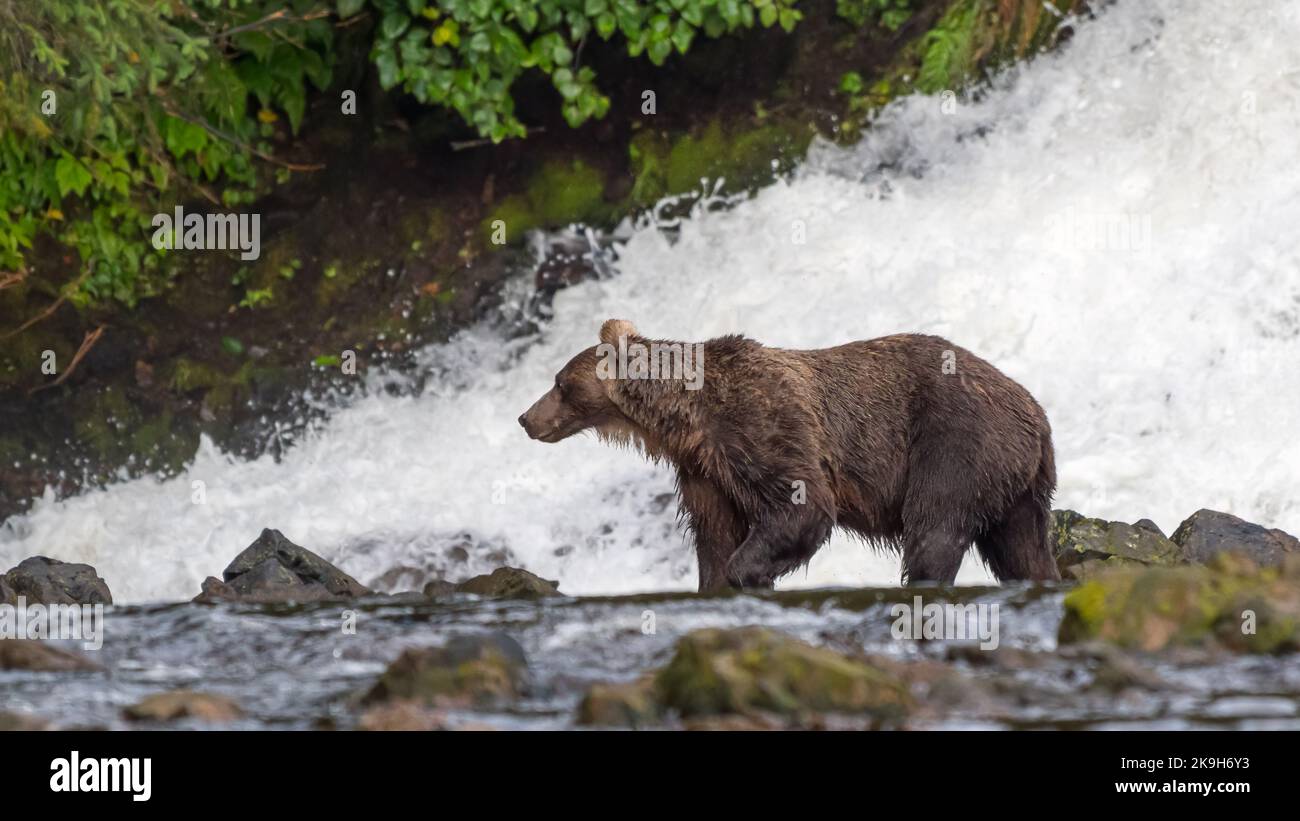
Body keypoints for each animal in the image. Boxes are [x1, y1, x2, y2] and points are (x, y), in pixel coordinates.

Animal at [519, 319, 1060, 591]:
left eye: (559, 383)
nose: (526, 418)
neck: (687, 420)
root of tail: (1036, 412)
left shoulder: (760, 424)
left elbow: (802, 506)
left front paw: (748, 573)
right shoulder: (705, 471)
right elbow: (714, 535)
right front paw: (716, 583)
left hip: (957, 440)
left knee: (935, 526)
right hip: (1016, 479)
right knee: (1023, 547)